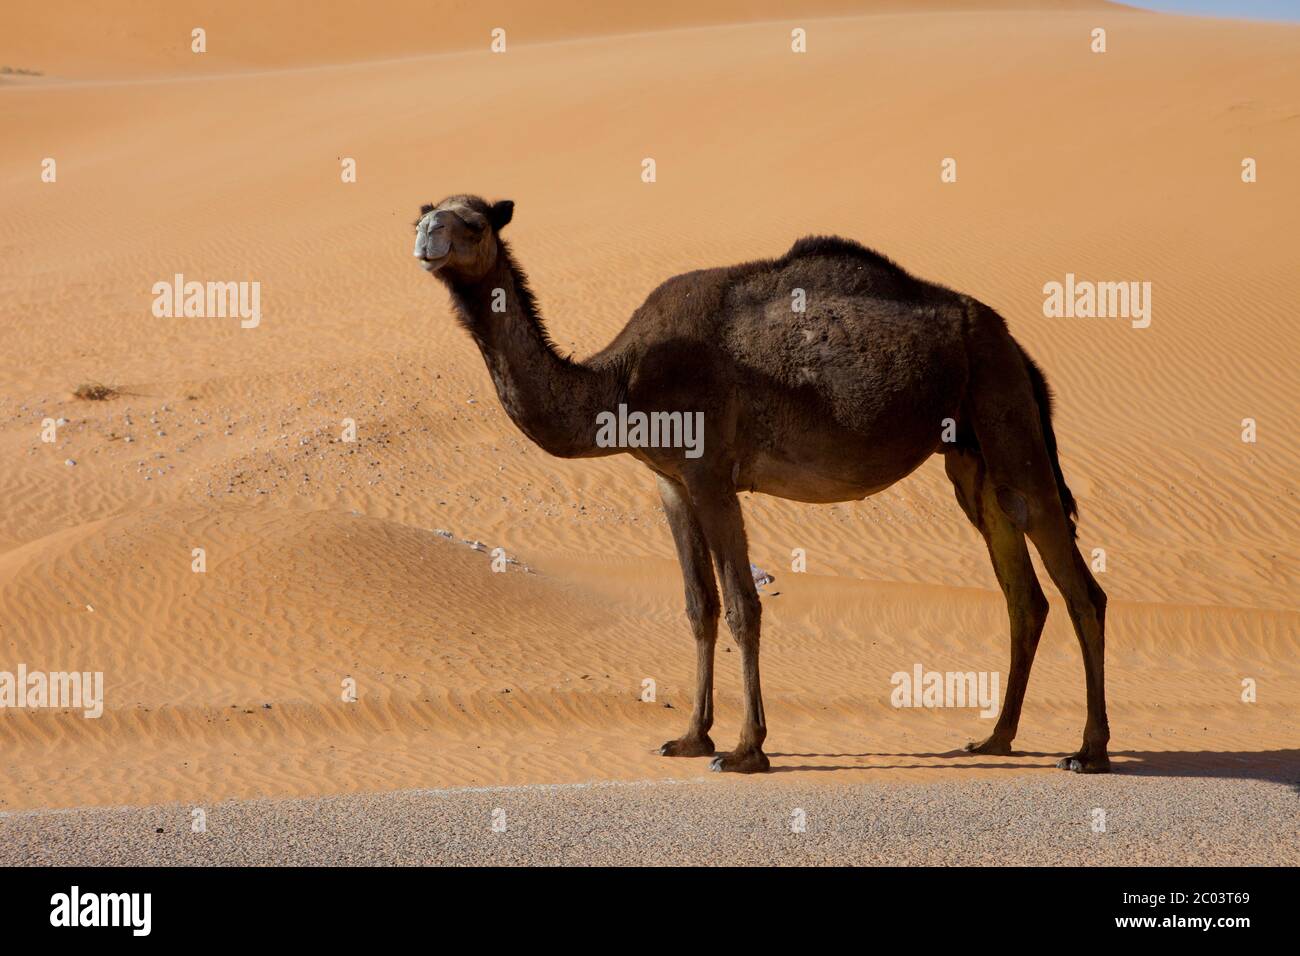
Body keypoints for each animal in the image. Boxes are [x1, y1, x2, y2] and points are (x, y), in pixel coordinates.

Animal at [413, 195, 1110, 774]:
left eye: (472, 223)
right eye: (427, 211)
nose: (426, 237)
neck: (621, 381)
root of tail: (1014, 342)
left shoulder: (711, 473)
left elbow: (743, 605)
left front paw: (747, 750)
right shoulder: (670, 482)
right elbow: (698, 606)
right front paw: (691, 738)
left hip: (1005, 411)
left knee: (1077, 582)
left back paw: (1089, 751)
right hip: (970, 457)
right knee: (1024, 592)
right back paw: (996, 738)